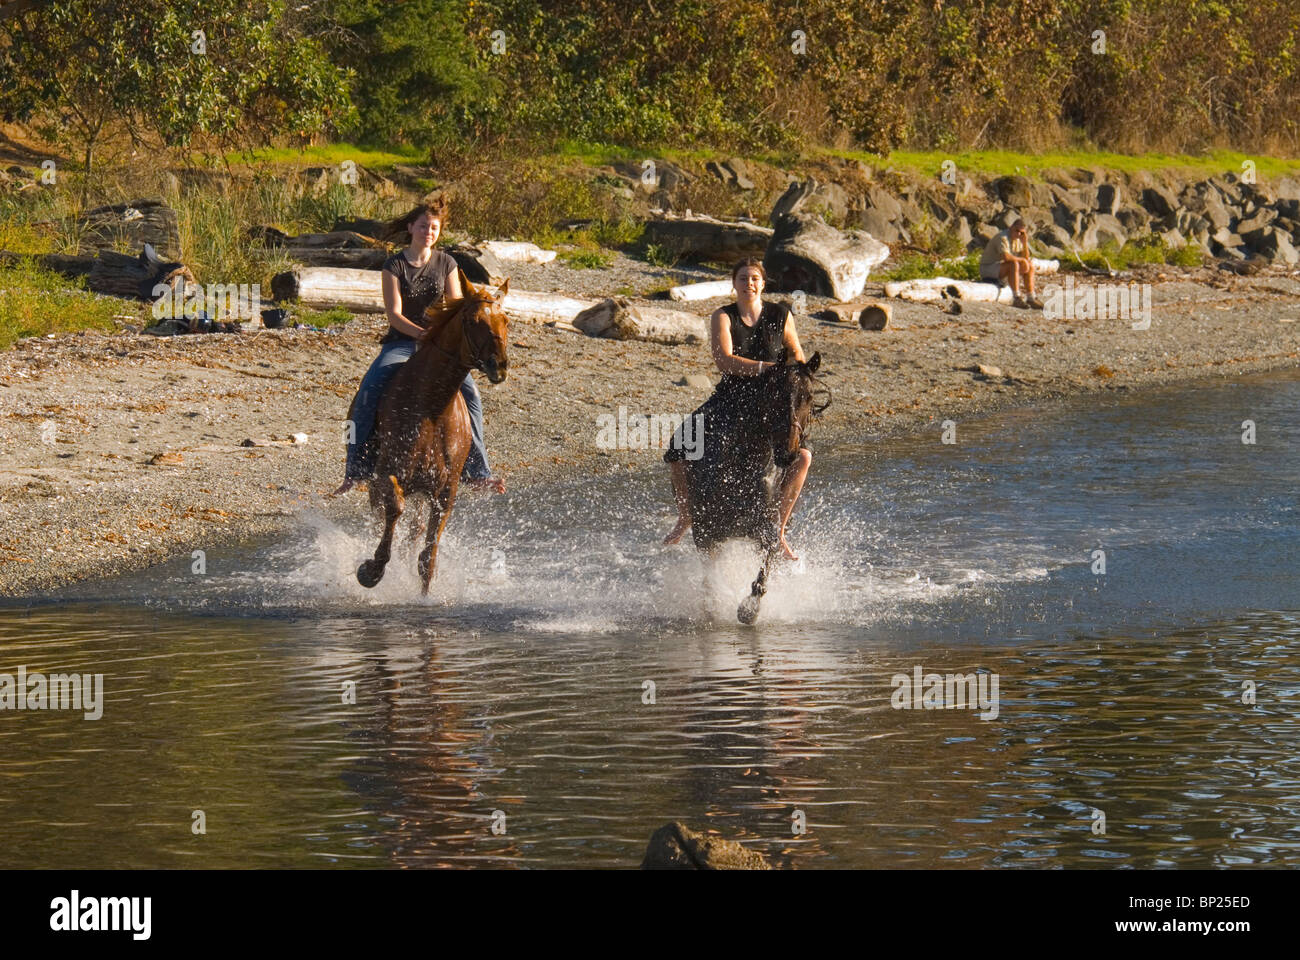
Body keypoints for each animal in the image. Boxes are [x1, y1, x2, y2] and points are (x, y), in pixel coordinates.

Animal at [684, 350, 827, 624]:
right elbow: (710, 576)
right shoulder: (705, 530)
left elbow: (768, 554)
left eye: (809, 397)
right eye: (775, 395)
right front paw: (712, 607)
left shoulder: (767, 526)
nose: (788, 453)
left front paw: (749, 607)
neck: (743, 466)